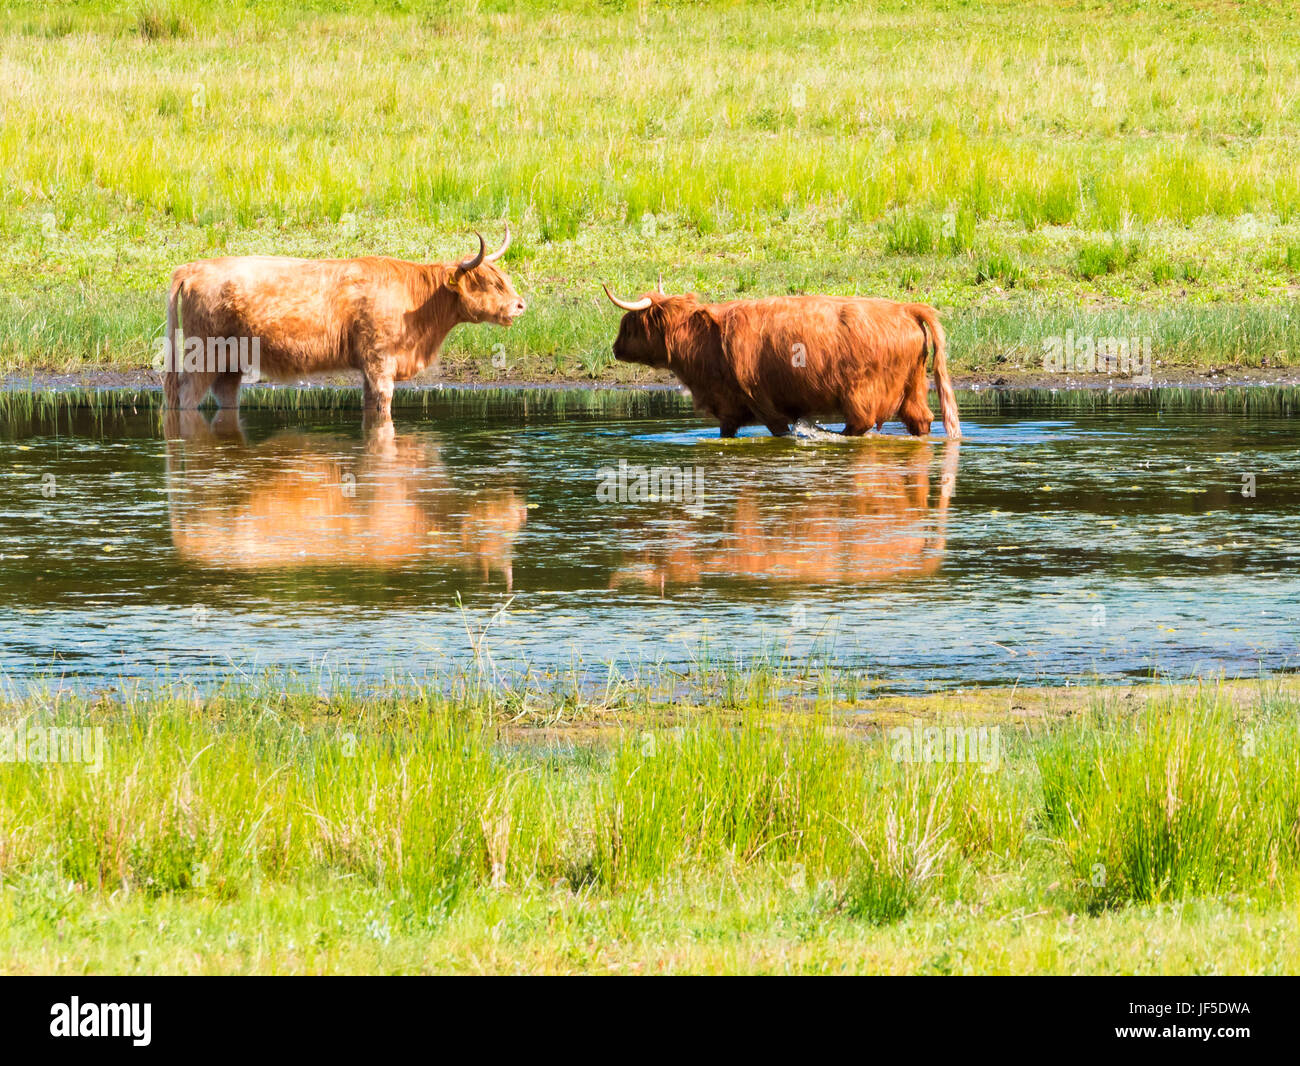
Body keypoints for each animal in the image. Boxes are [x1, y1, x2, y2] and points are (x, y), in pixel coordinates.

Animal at [162, 227, 525, 416]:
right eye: (489, 282)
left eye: (504, 277)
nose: (521, 305)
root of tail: (192, 267)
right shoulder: (380, 361)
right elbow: (383, 403)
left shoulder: (368, 366)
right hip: (203, 356)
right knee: (186, 396)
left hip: (231, 362)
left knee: (224, 395)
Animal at [602, 281, 960, 439]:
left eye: (628, 325)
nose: (614, 348)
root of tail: (906, 308)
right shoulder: (729, 409)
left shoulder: (760, 400)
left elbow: (781, 431)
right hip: (913, 388)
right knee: (921, 420)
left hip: (862, 395)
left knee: (859, 426)